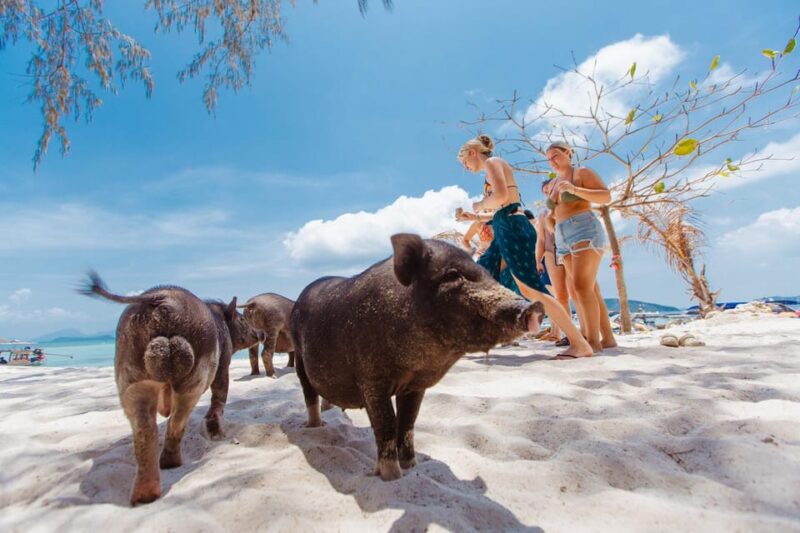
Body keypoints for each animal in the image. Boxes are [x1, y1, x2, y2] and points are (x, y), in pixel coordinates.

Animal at [79, 272, 262, 505]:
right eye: (242, 320)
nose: (261, 333)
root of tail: (163, 301)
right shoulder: (223, 363)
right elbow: (220, 393)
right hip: (195, 372)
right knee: (178, 419)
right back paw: (170, 465)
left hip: (131, 372)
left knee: (145, 426)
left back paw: (145, 495)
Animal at [290, 233, 544, 481]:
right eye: (452, 275)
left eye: (487, 273)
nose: (535, 306)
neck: (413, 367)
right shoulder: (371, 379)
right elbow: (387, 425)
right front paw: (391, 477)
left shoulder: (415, 385)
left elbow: (408, 422)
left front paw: (411, 466)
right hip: (300, 358)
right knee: (309, 395)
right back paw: (313, 426)